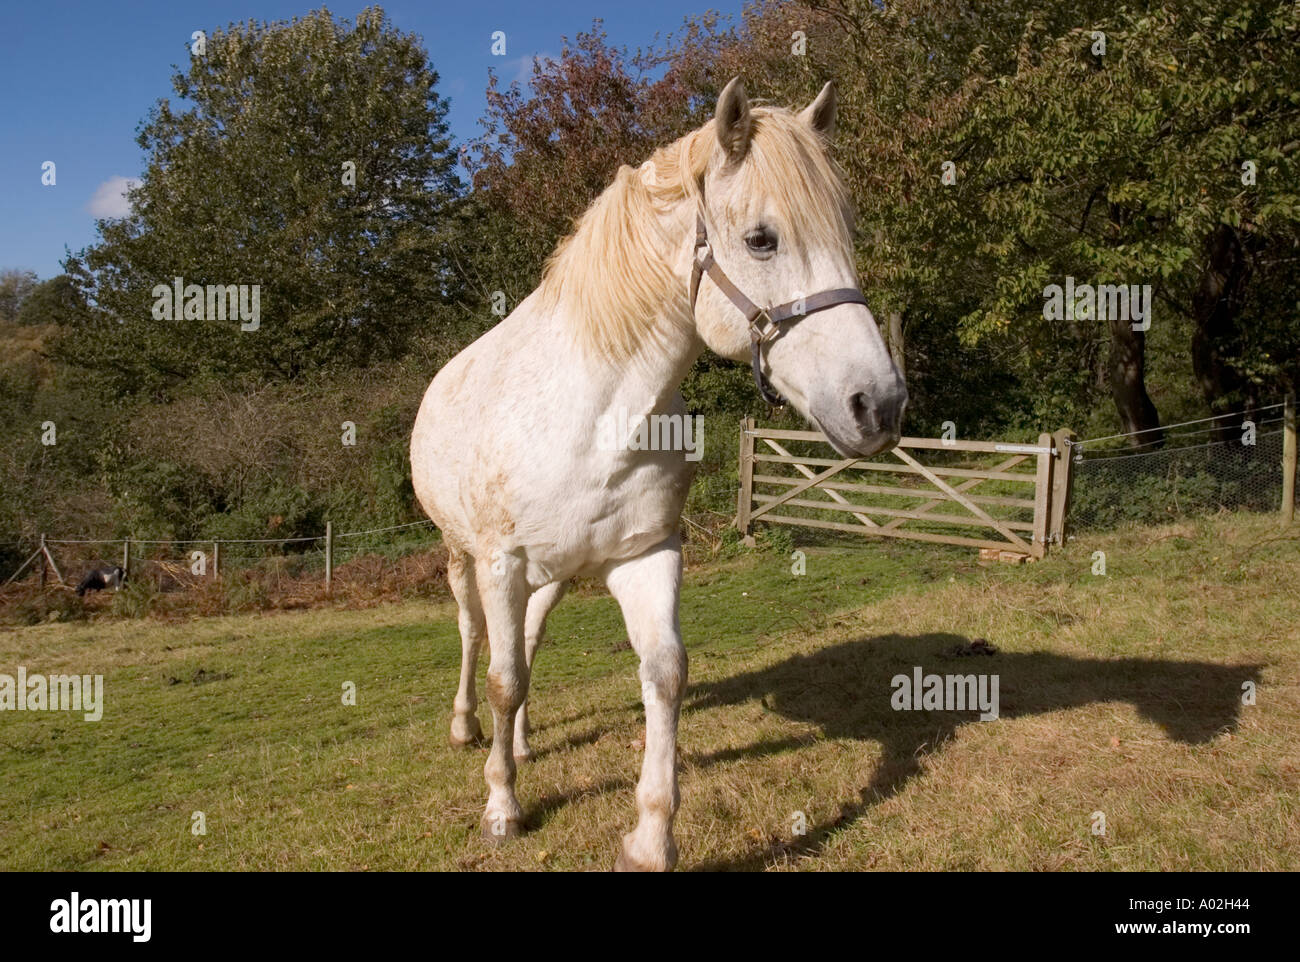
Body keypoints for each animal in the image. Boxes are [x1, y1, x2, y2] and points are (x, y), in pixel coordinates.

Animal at [410, 78, 907, 871]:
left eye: (848, 232)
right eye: (762, 238)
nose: (879, 404)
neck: (597, 410)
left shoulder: (645, 555)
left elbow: (663, 675)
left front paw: (649, 836)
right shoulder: (500, 560)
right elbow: (500, 676)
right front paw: (502, 807)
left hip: (554, 572)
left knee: (529, 639)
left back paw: (523, 741)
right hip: (463, 558)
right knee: (472, 636)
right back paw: (468, 731)